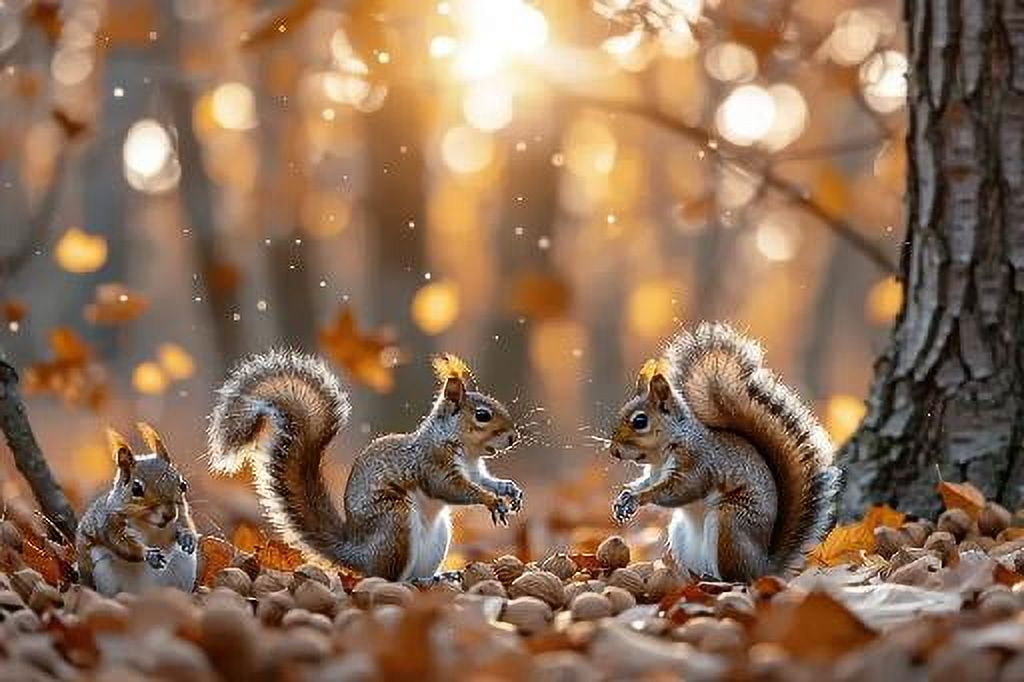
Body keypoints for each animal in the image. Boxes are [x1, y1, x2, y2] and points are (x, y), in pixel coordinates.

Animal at [76, 424, 198, 596]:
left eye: (183, 485)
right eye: (136, 489)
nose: (169, 515)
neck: (149, 524)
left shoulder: (181, 513)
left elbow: (187, 525)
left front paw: (188, 537)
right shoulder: (110, 522)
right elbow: (121, 542)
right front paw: (149, 554)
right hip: (102, 571)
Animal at [206, 350, 523, 582]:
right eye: (482, 415)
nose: (513, 437)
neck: (466, 451)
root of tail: (358, 553)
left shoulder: (474, 470)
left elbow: (483, 480)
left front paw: (508, 490)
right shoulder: (431, 463)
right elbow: (451, 488)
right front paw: (491, 501)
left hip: (437, 537)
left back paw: (439, 577)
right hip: (395, 523)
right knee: (389, 579)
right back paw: (417, 582)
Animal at [607, 322, 840, 582]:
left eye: (640, 421)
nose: (614, 451)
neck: (665, 452)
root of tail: (764, 568)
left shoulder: (696, 462)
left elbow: (680, 489)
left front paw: (639, 498)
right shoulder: (654, 472)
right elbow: (645, 481)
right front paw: (625, 496)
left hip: (730, 524)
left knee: (737, 577)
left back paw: (716, 580)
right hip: (681, 533)